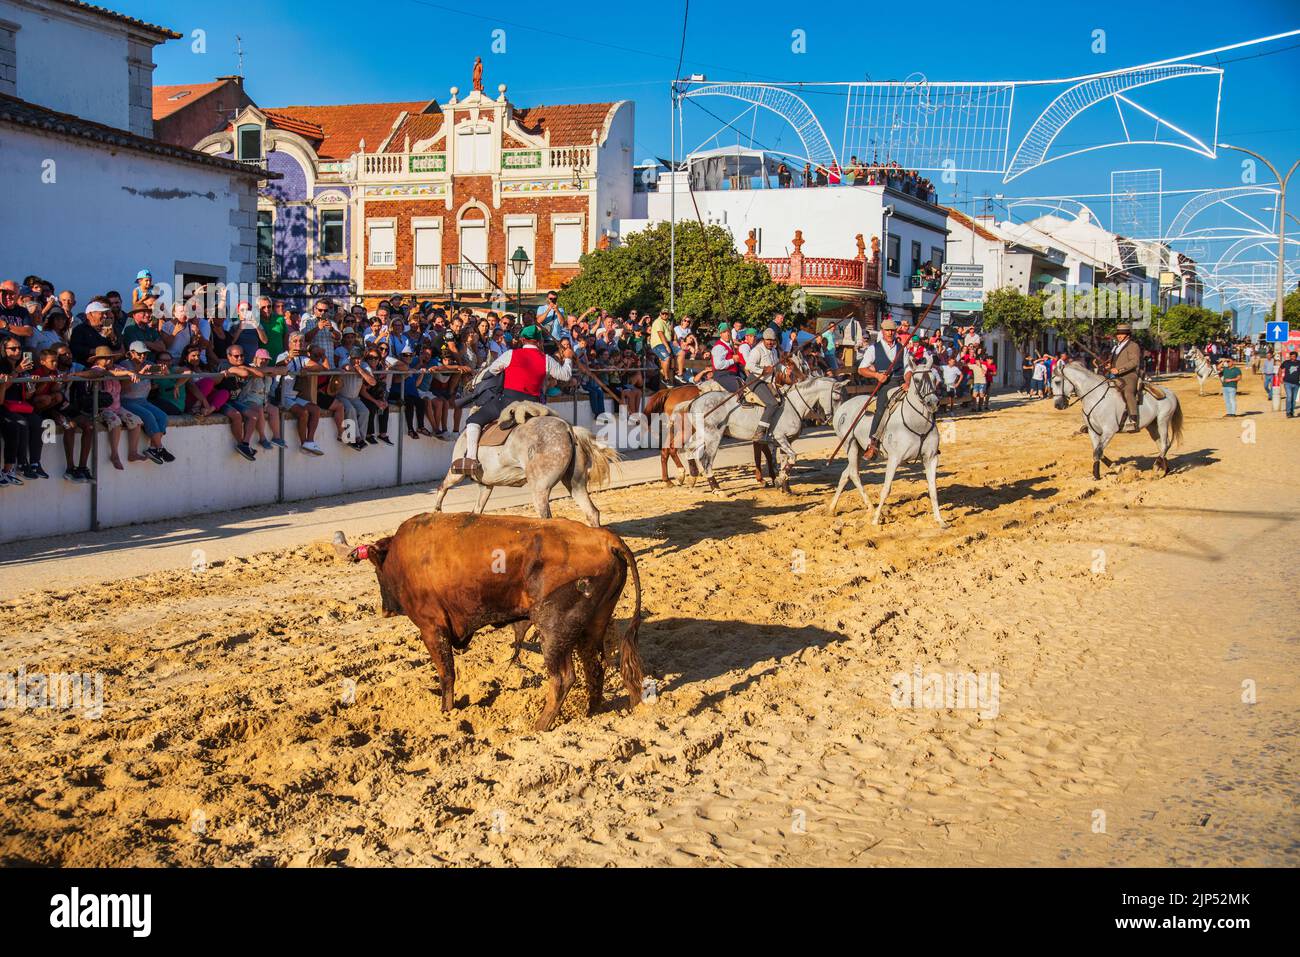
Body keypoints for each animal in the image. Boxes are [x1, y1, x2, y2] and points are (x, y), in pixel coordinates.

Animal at [337, 512, 646, 731]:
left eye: (378, 570)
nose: (385, 610)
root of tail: (605, 538)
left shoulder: (431, 628)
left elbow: (447, 673)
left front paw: (446, 711)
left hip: (554, 631)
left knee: (562, 678)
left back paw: (539, 726)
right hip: (592, 627)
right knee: (595, 667)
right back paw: (590, 713)